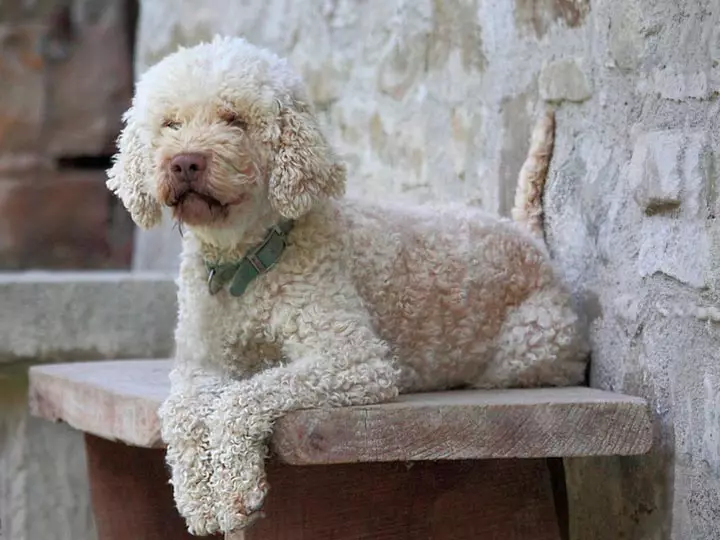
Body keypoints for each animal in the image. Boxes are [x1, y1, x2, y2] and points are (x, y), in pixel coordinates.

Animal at [108, 37, 592, 536]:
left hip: (528, 349)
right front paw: (197, 499)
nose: (184, 162)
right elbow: (182, 411)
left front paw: (236, 488)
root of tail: (529, 238)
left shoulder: (354, 360)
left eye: (234, 120)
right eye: (171, 123)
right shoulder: (200, 364)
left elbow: (243, 397)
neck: (248, 263)